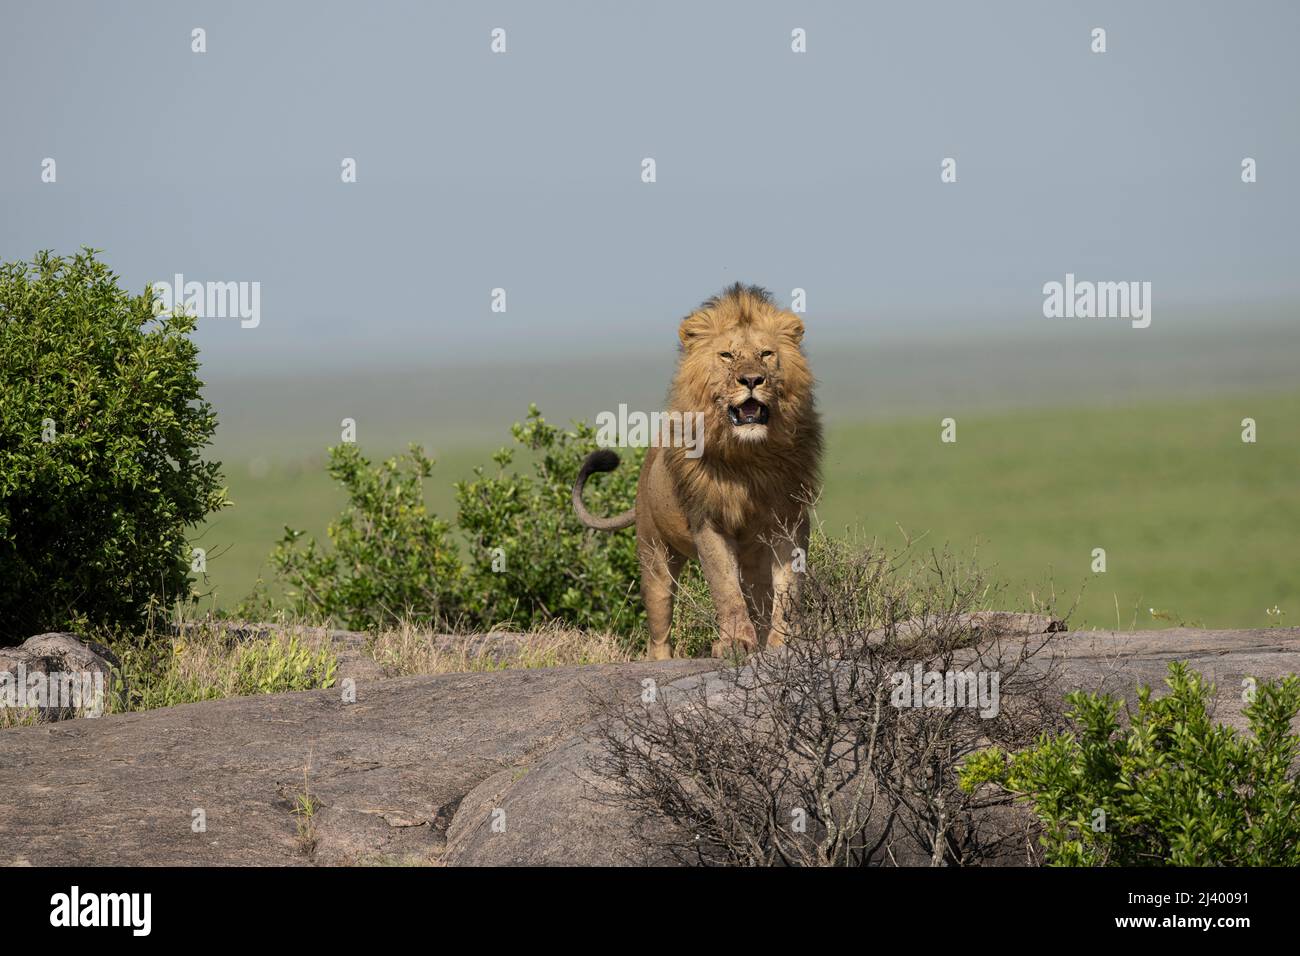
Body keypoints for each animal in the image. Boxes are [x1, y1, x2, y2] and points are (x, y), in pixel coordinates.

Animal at [572, 283, 823, 660]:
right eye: (726, 356)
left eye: (766, 354)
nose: (752, 379)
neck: (750, 457)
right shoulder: (709, 521)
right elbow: (725, 588)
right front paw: (735, 643)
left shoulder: (789, 519)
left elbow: (789, 587)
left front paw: (784, 643)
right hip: (654, 556)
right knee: (659, 630)